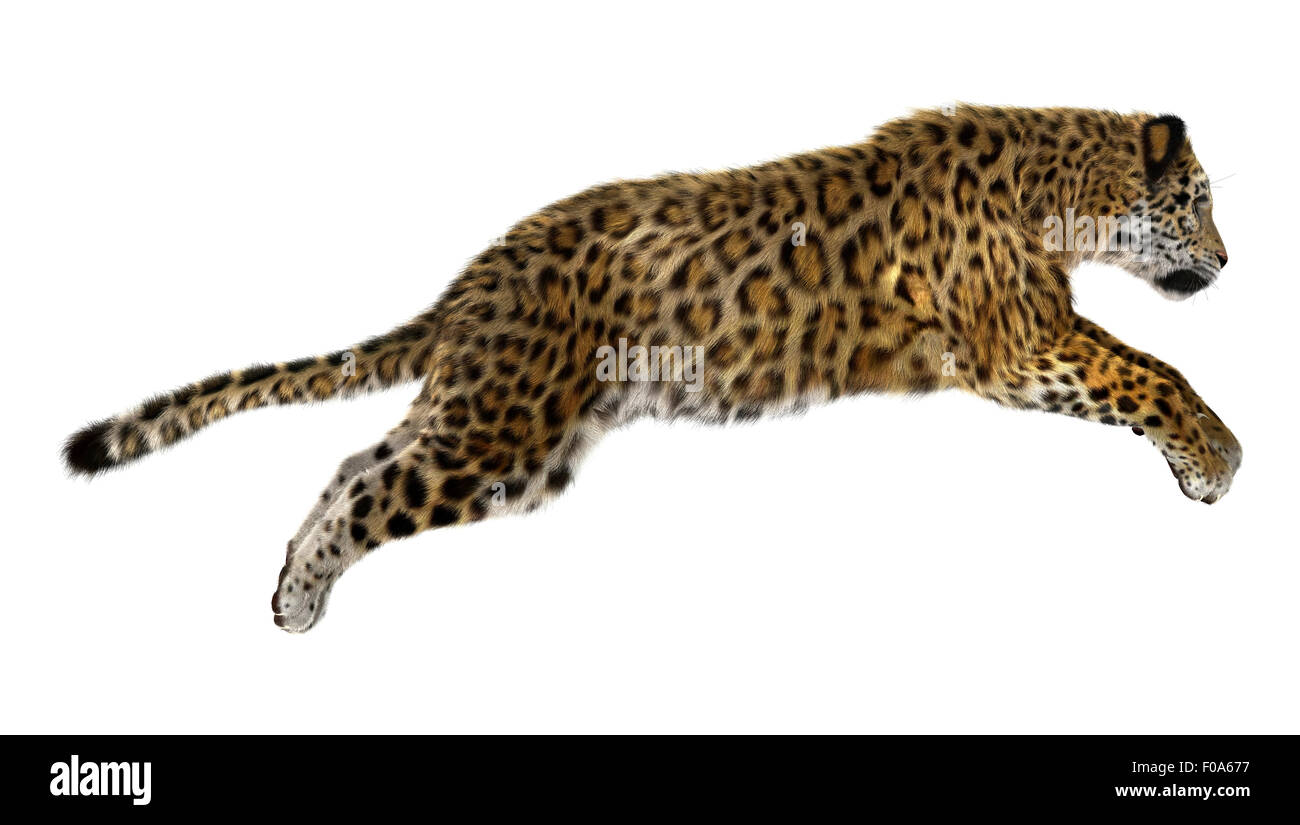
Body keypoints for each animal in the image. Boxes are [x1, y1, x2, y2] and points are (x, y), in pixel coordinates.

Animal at [64, 104, 1241, 632]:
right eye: (1196, 204)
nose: (1229, 263)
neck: (1066, 185)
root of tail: (482, 269)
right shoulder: (1022, 341)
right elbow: (1151, 374)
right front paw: (1217, 459)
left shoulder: (1031, 337)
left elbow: (1147, 367)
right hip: (503, 428)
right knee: (372, 482)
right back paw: (299, 596)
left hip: (504, 430)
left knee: (362, 458)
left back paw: (285, 585)